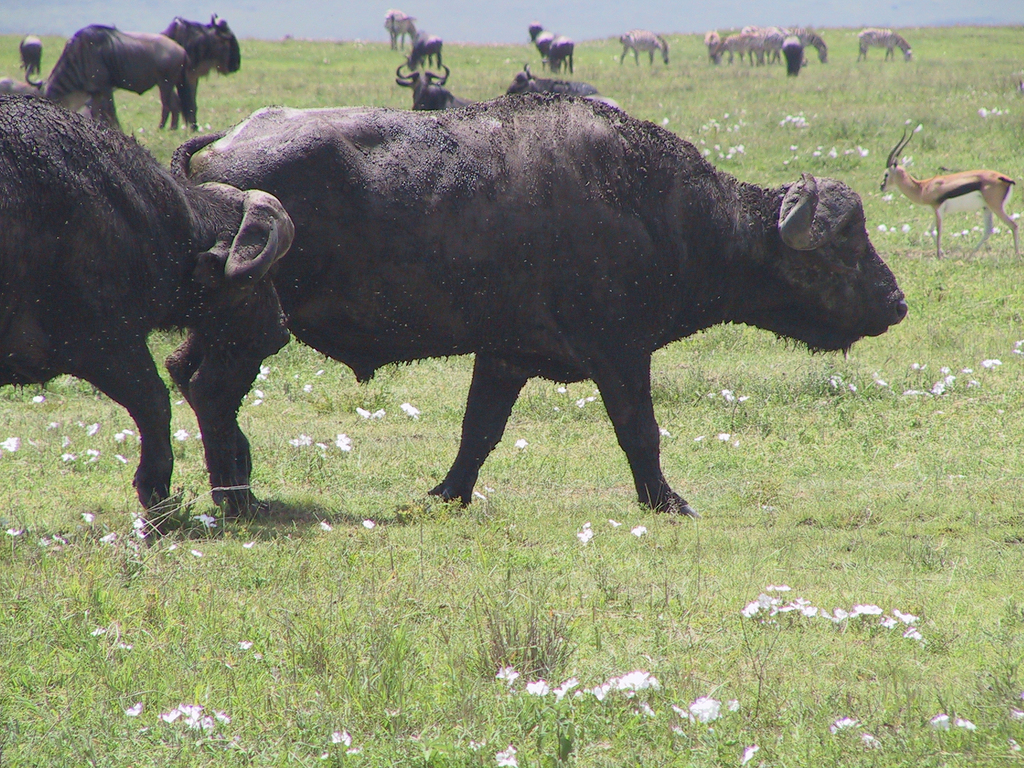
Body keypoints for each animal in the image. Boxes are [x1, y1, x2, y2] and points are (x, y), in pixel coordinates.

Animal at [174, 95, 906, 517]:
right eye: (843, 246)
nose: (896, 302)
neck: (659, 208)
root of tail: (213, 160)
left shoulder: (505, 355)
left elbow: (478, 432)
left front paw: (447, 495)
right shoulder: (620, 351)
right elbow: (640, 432)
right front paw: (666, 501)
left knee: (188, 375)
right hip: (253, 330)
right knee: (212, 389)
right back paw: (237, 500)